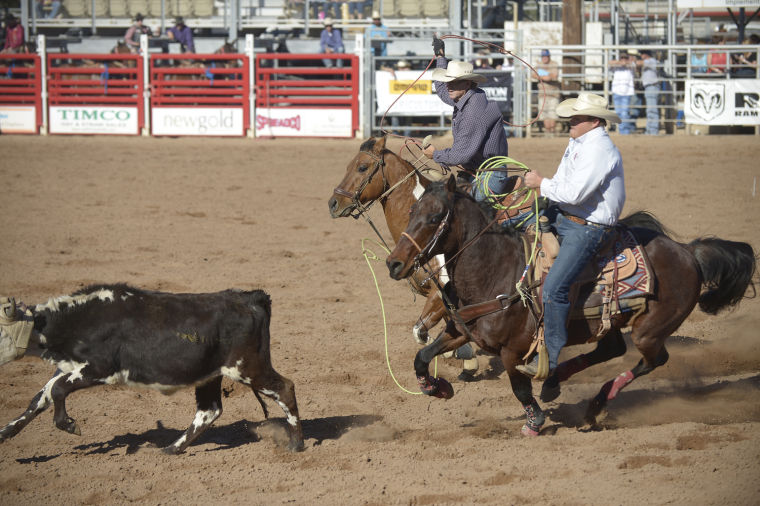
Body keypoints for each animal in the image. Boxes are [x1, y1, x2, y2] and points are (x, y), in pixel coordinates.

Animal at [0, 283, 304, 453]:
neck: (81, 319)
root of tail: (250, 299)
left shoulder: (99, 369)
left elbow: (58, 390)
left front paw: (69, 425)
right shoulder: (69, 367)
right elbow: (41, 398)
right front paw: (5, 434)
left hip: (248, 367)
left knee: (285, 389)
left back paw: (296, 445)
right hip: (211, 375)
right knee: (209, 410)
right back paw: (171, 449)